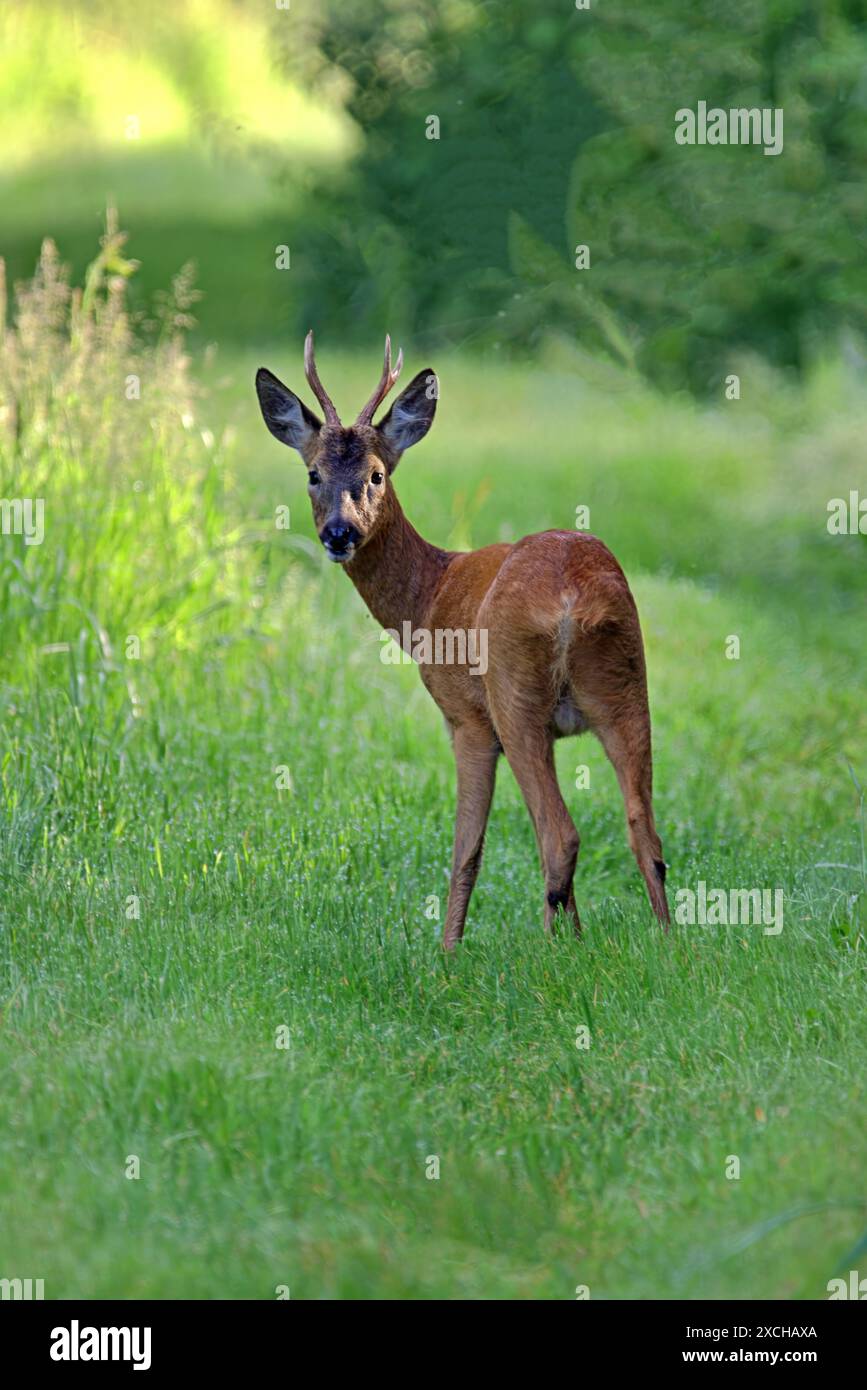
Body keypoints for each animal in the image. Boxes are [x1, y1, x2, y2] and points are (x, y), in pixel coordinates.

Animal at [255, 335, 670, 950]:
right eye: (313, 473)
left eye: (376, 475)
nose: (339, 533)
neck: (429, 596)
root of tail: (577, 597)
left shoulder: (466, 718)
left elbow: (465, 849)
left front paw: (447, 952)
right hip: (627, 687)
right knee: (644, 831)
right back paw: (664, 942)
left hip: (514, 696)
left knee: (559, 834)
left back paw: (552, 949)